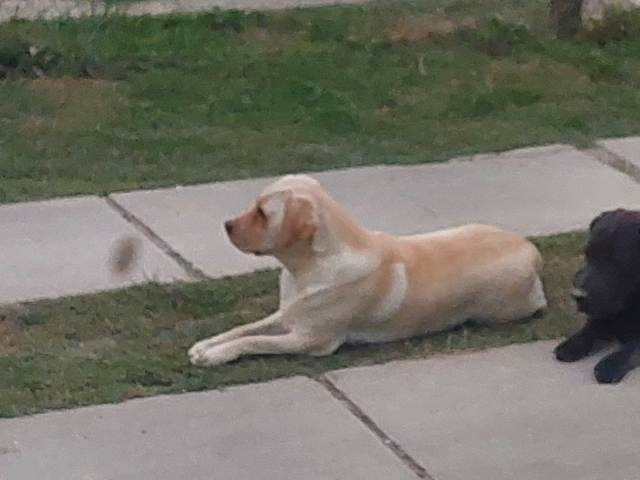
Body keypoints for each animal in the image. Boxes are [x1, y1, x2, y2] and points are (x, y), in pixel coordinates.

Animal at [188, 174, 548, 366]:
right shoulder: (287, 314)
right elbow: (244, 328)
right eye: (254, 205)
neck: (307, 269)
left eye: (263, 213)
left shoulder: (310, 339)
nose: (226, 225)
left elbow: (255, 341)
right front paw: (206, 345)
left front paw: (215, 355)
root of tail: (530, 248)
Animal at [552, 208, 640, 384]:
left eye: (616, 261)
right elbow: (591, 326)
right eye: (587, 254)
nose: (577, 295)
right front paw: (573, 343)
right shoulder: (604, 312)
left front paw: (610, 365)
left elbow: (633, 346)